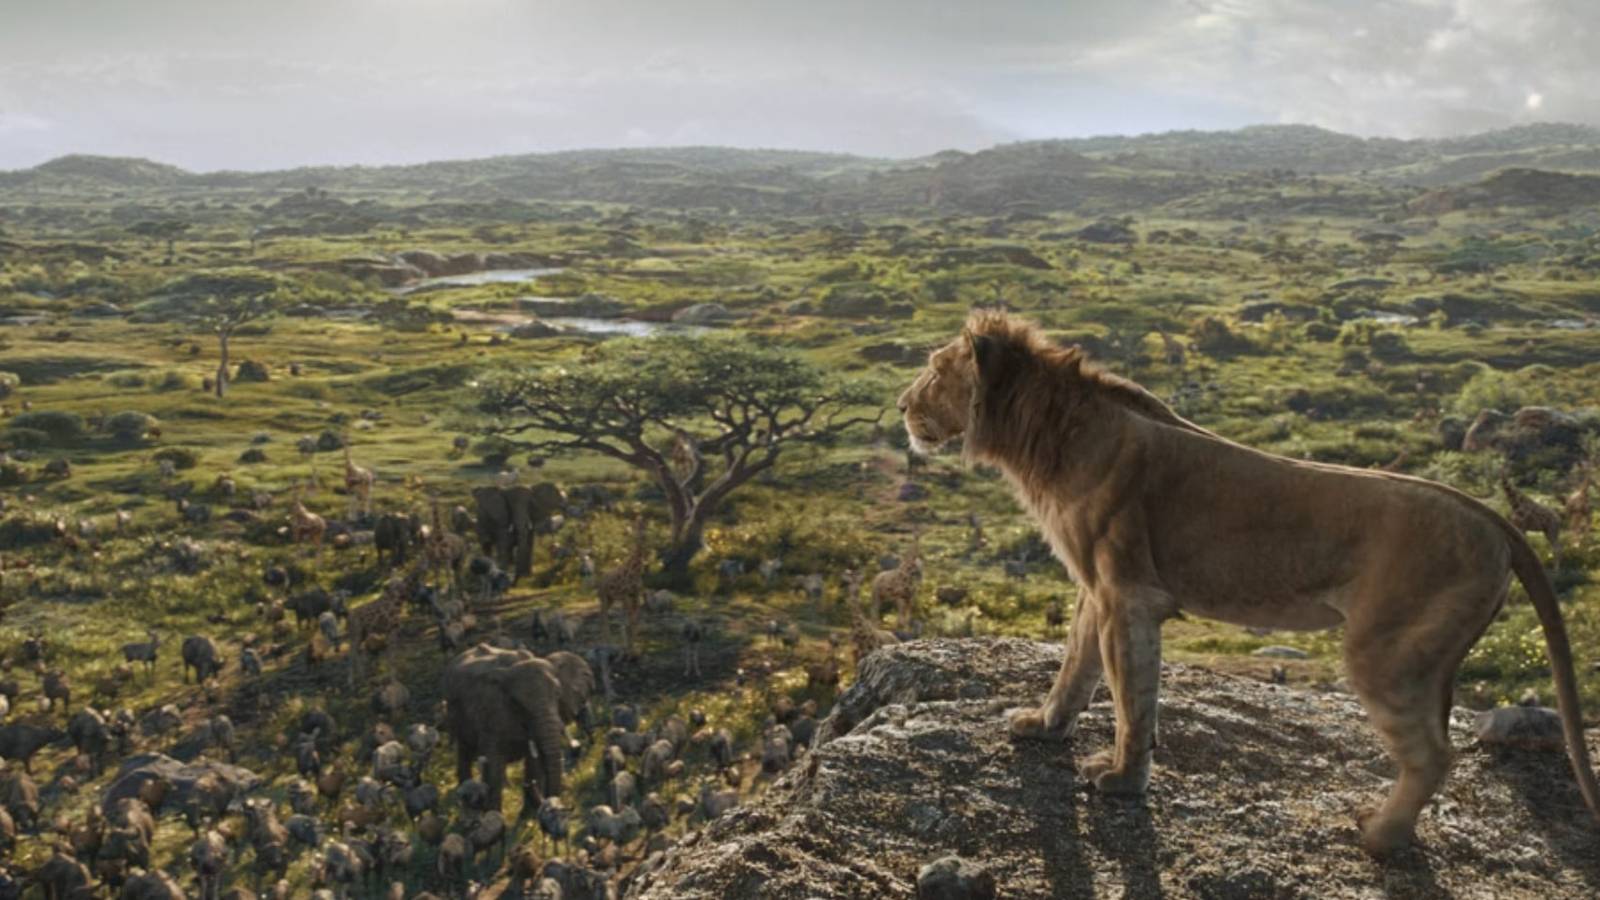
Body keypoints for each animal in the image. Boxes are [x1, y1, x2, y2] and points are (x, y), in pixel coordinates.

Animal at [898, 311, 1599, 856]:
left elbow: (1131, 697)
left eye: (933, 369)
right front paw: (1044, 727)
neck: (1046, 433)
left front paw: (1122, 780)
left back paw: (1379, 836)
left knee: (1433, 755)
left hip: (1384, 652)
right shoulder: (1095, 590)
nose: (902, 406)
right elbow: (1076, 667)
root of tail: (1492, 518)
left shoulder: (1129, 595)